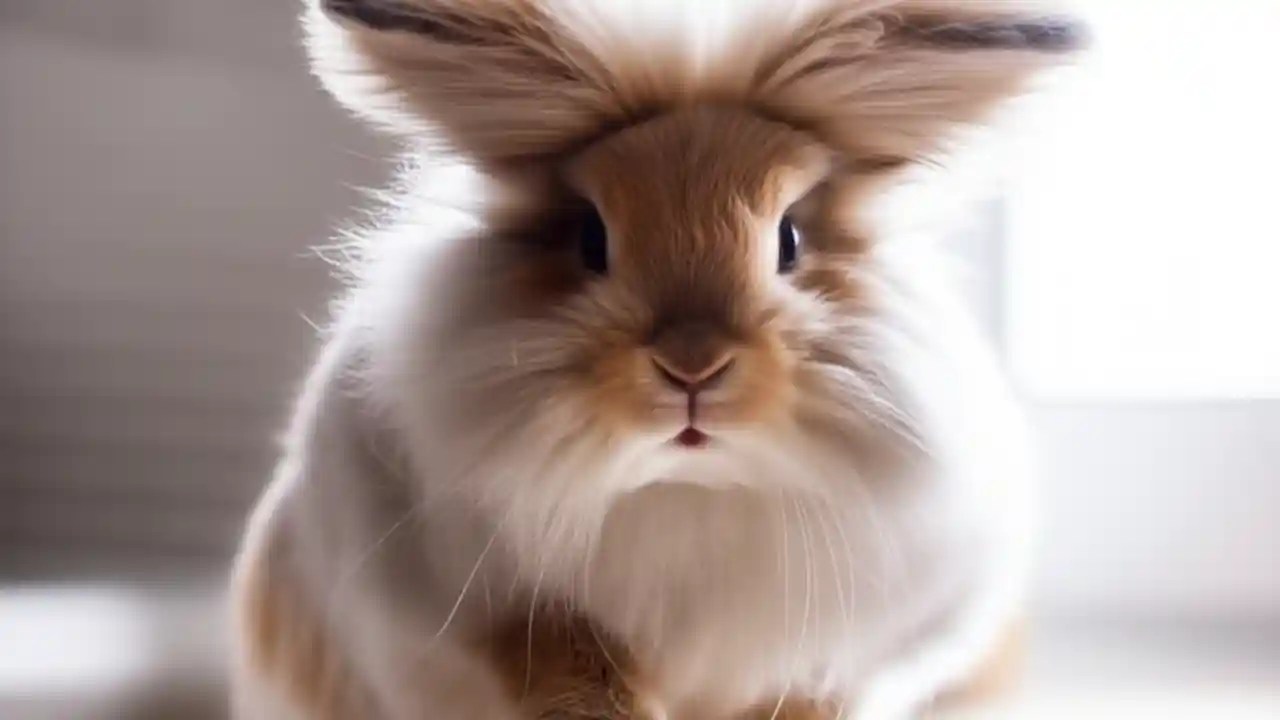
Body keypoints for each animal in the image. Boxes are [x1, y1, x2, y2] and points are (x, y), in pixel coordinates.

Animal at [231, 1, 1084, 718]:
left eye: (790, 239)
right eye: (590, 237)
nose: (692, 368)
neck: (688, 488)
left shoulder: (842, 662)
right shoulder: (506, 623)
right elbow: (579, 687)